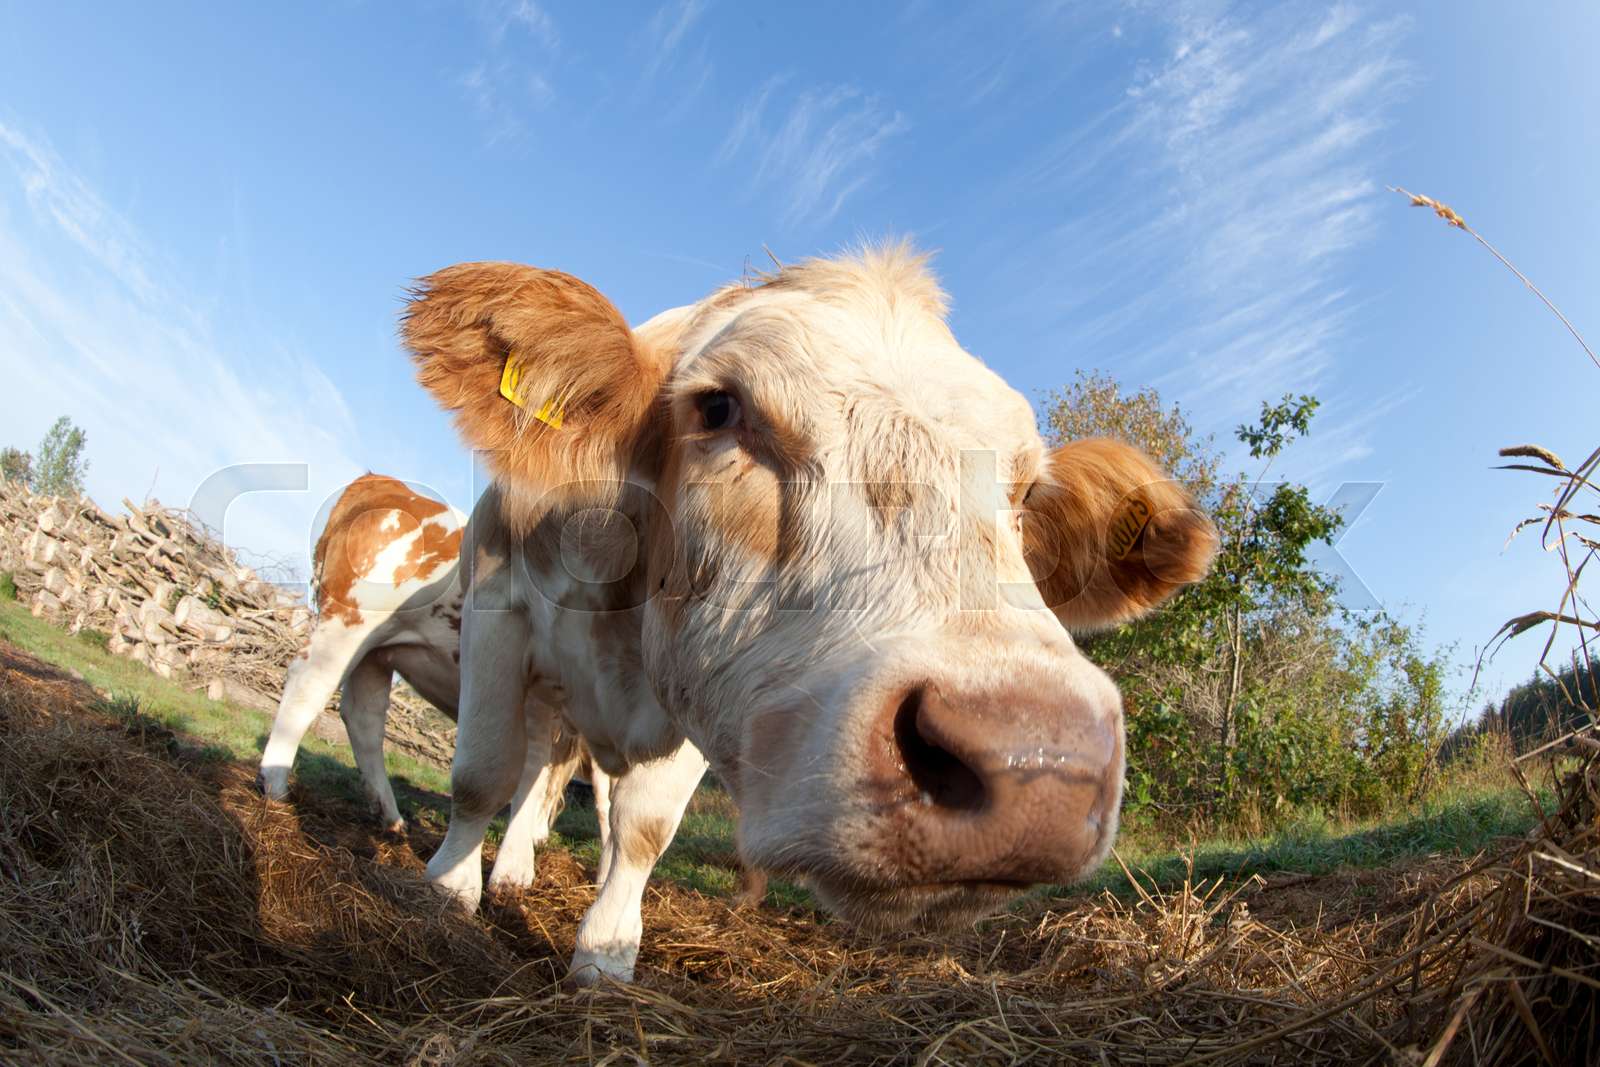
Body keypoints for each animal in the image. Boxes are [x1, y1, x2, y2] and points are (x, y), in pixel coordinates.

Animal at [403, 244, 1219, 984]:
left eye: (1024, 491)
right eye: (719, 407)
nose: (1042, 763)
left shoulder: (709, 688)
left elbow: (642, 829)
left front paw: (604, 952)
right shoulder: (496, 602)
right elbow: (479, 772)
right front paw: (444, 896)